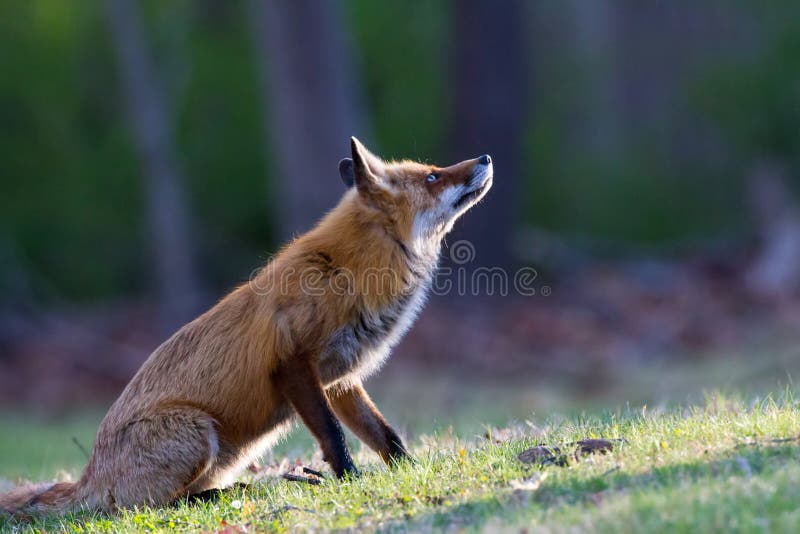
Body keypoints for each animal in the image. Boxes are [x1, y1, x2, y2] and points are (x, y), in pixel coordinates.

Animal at [0, 137, 493, 516]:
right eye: (432, 177)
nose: (485, 158)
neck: (344, 271)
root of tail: (88, 478)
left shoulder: (340, 377)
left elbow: (384, 435)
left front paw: (412, 471)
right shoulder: (294, 362)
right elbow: (333, 436)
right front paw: (350, 481)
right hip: (197, 432)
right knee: (147, 506)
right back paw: (226, 495)